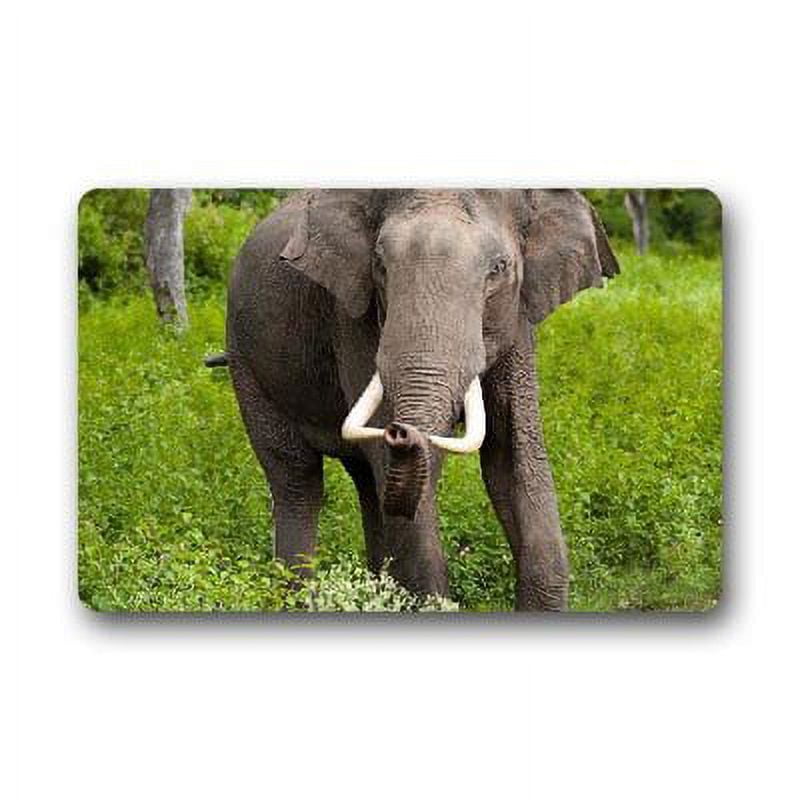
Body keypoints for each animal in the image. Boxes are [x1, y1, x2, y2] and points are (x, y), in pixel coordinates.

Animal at [212, 189, 619, 611]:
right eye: (379, 264)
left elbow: (513, 459)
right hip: (245, 360)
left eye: (499, 268)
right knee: (297, 479)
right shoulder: (352, 317)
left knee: (367, 483)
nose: (401, 432)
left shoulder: (518, 321)